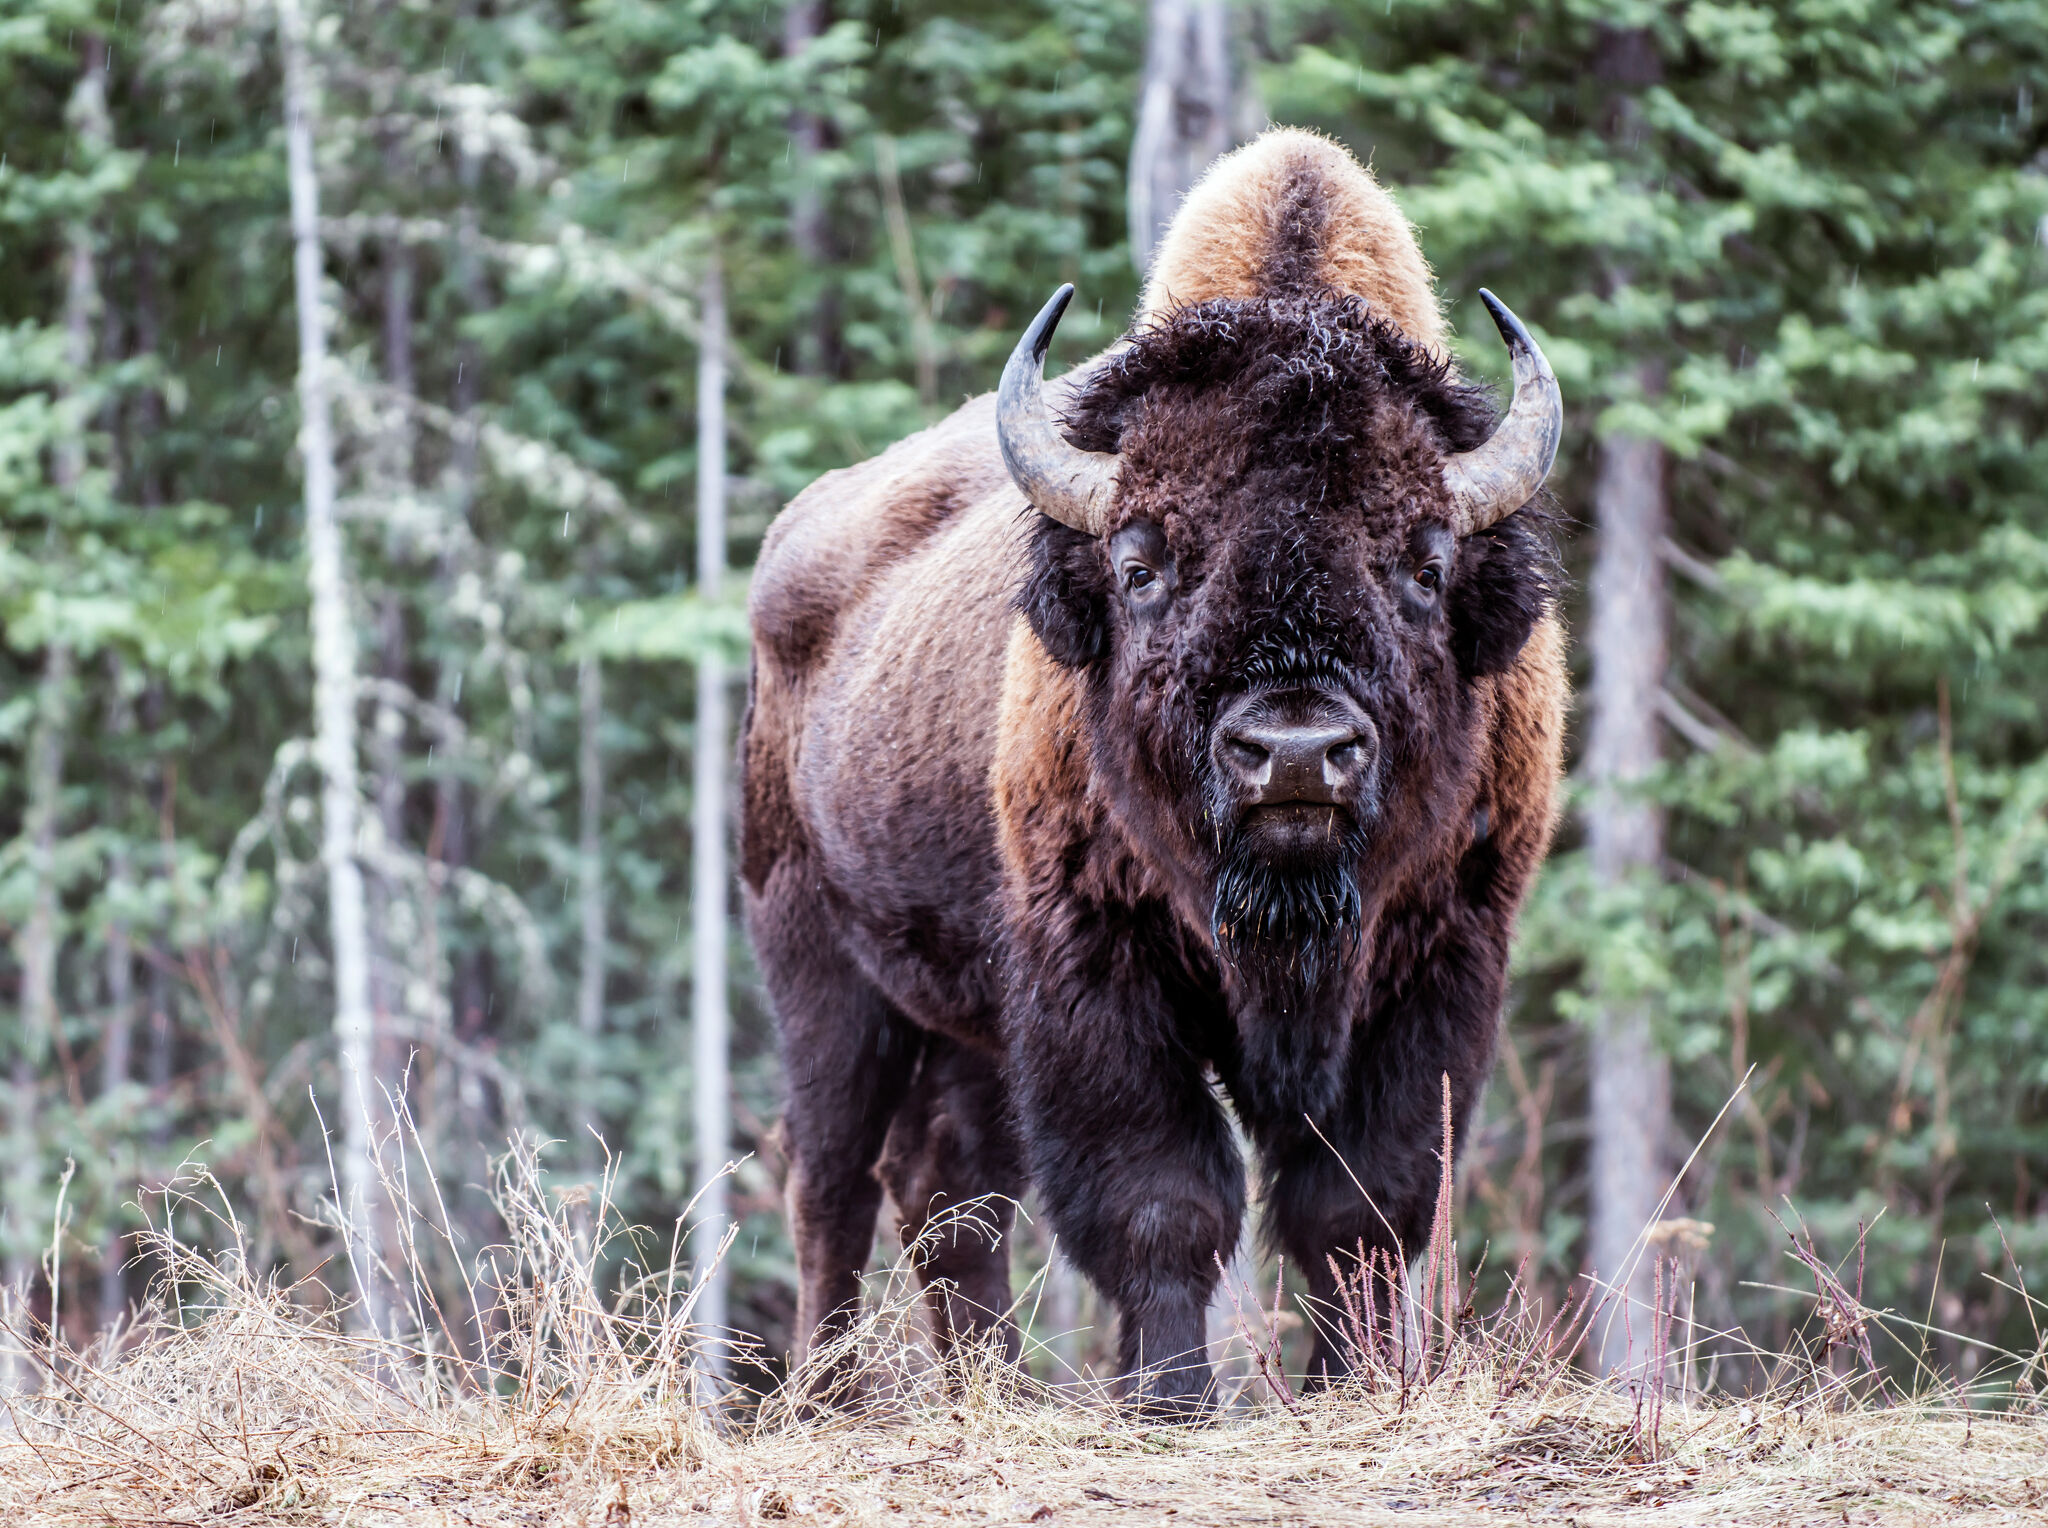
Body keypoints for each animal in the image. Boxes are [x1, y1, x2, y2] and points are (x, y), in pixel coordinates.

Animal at [740, 129, 1566, 1411]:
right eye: (1140, 565)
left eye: (1425, 565)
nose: (1292, 752)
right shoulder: (1092, 966)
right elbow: (1162, 1197)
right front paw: (1171, 1398)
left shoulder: (1438, 966)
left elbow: (1358, 1207)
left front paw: (1346, 1386)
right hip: (814, 959)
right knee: (830, 1179)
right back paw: (828, 1395)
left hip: (959, 1010)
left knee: (946, 1188)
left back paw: (993, 1384)